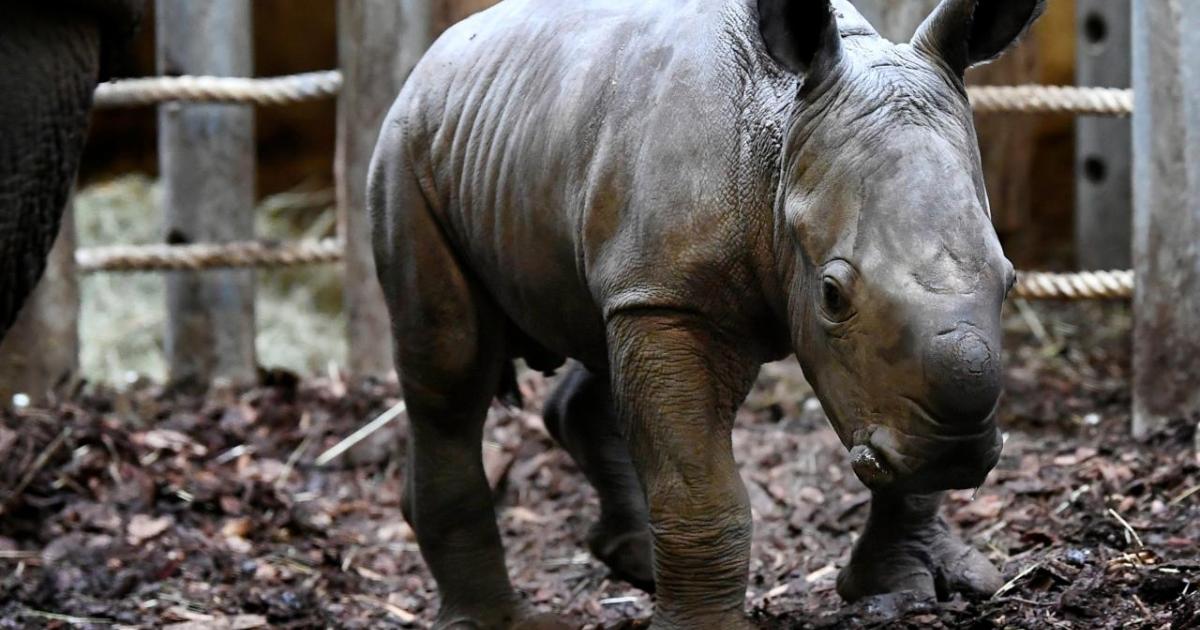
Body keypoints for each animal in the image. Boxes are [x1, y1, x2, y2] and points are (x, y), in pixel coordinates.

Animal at [369, 0, 1042, 627]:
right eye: (831, 295)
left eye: (1010, 280)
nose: (958, 453)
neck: (782, 130)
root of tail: (434, 59)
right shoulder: (672, 300)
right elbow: (700, 487)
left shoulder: (658, 286)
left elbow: (909, 431)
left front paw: (904, 587)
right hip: (406, 147)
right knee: (449, 373)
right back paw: (507, 621)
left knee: (595, 337)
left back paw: (635, 564)